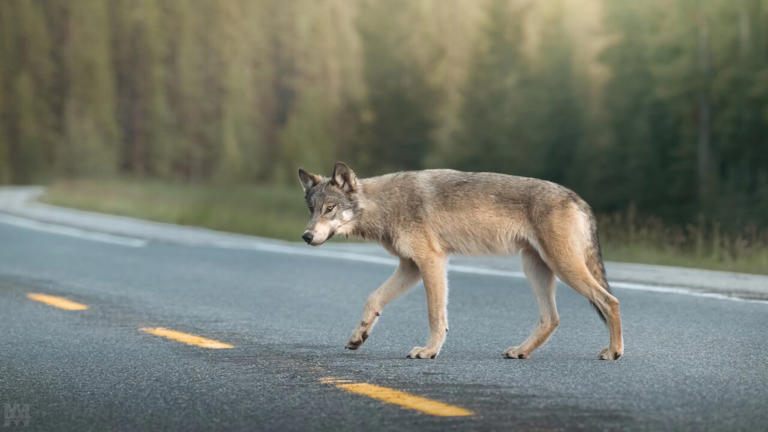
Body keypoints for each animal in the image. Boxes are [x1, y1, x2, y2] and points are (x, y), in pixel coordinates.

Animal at [298, 162, 623, 360]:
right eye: (312, 209)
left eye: (330, 208)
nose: (306, 236)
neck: (385, 205)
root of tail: (579, 199)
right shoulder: (410, 267)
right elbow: (373, 299)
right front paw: (359, 336)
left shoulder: (431, 262)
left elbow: (435, 315)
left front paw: (428, 351)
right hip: (535, 268)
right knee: (551, 318)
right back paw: (520, 351)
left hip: (563, 267)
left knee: (610, 301)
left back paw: (614, 352)